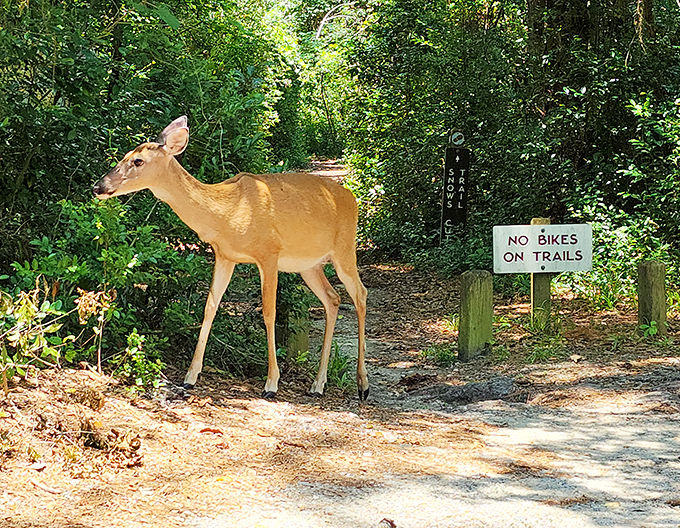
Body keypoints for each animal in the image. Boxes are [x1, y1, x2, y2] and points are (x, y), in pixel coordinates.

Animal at [92, 116, 369, 400]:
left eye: (138, 161)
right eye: (124, 155)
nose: (98, 187)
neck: (226, 212)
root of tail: (353, 199)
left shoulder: (268, 253)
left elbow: (268, 312)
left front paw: (271, 383)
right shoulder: (225, 255)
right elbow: (209, 307)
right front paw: (190, 378)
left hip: (344, 249)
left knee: (360, 293)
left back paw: (362, 385)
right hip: (308, 265)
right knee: (333, 299)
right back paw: (318, 385)